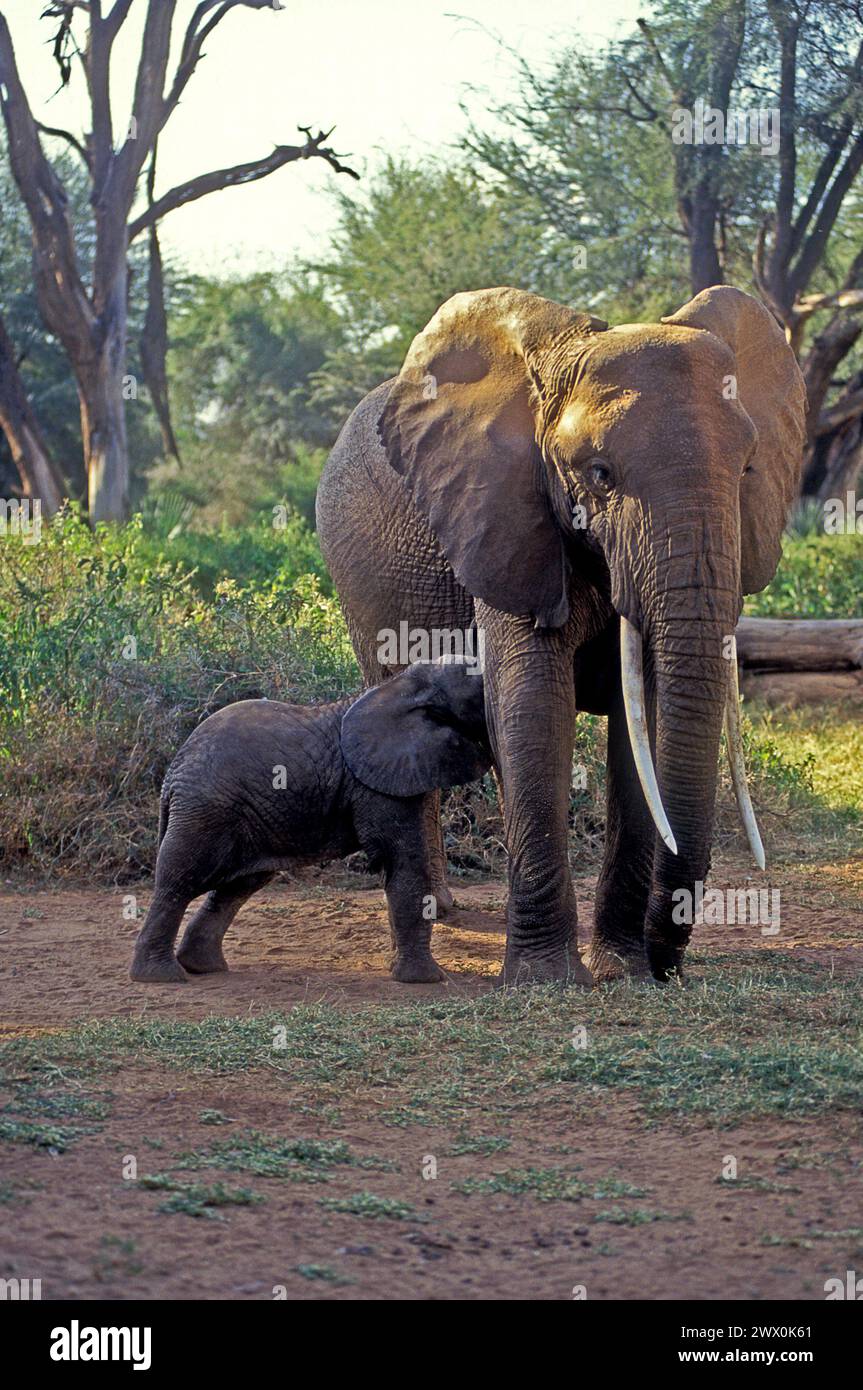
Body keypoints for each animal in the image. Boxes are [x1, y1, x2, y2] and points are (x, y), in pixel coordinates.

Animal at [130, 659, 490, 985]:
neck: (403, 685)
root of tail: (172, 776)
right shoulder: (376, 782)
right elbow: (404, 860)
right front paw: (427, 980)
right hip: (206, 809)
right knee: (180, 879)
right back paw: (160, 976)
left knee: (239, 884)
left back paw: (202, 967)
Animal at [315, 285, 806, 986]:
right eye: (600, 474)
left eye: (747, 470)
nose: (668, 968)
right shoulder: (506, 518)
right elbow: (534, 702)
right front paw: (547, 980)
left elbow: (642, 723)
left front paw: (622, 968)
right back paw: (443, 909)